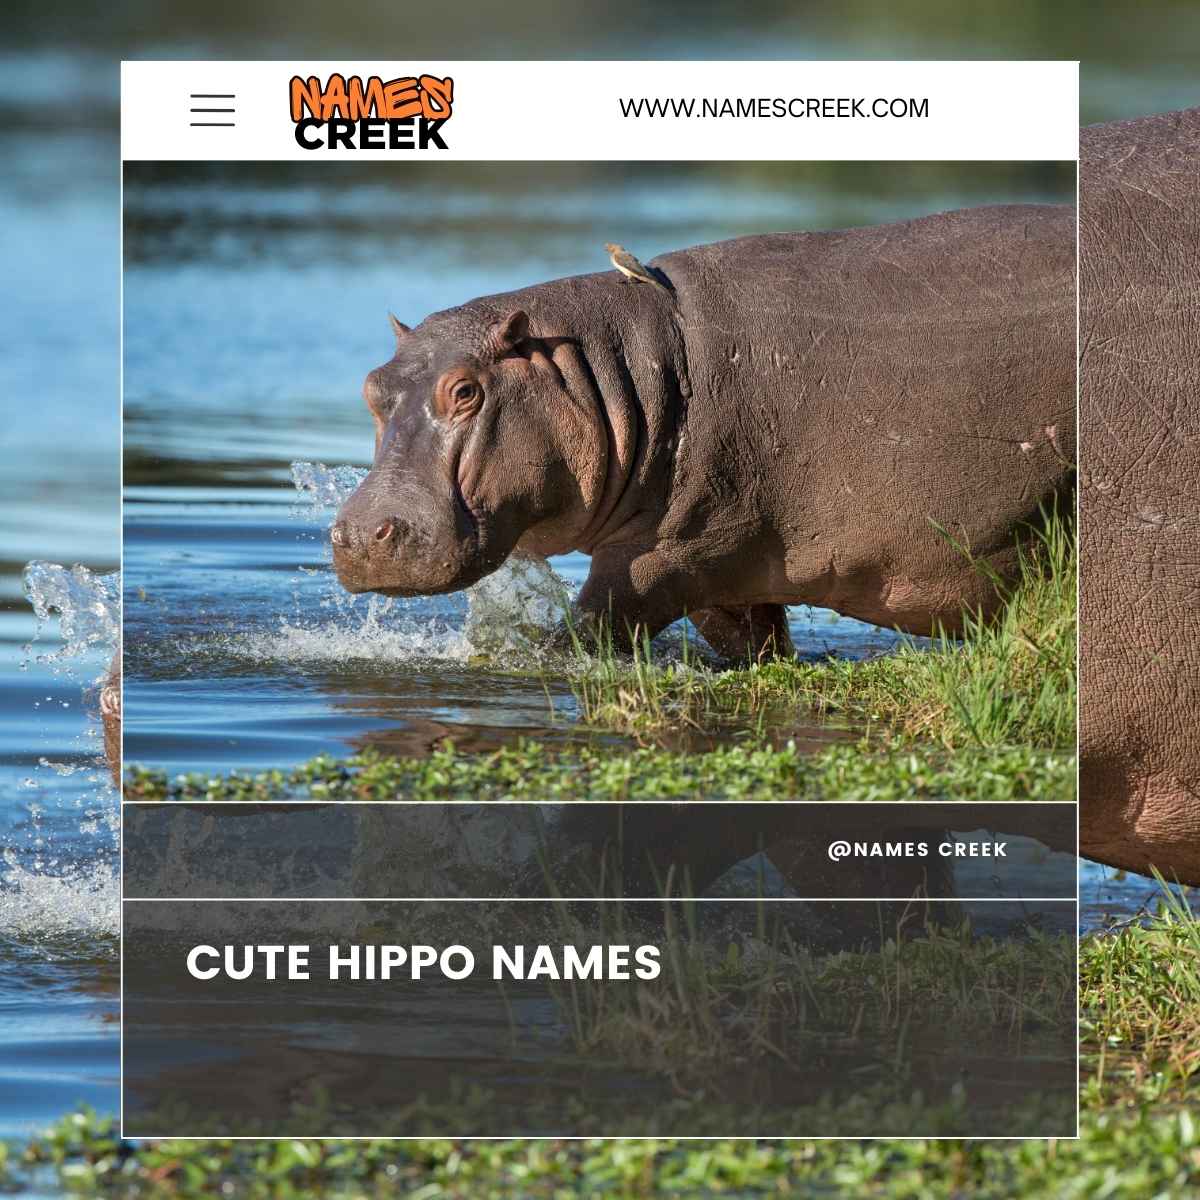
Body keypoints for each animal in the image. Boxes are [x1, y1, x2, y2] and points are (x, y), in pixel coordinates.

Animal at [333, 207, 1075, 660]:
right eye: (371, 386)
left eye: (465, 390)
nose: (362, 533)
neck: (610, 368)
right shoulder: (732, 571)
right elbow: (755, 643)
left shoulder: (670, 553)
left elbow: (586, 630)